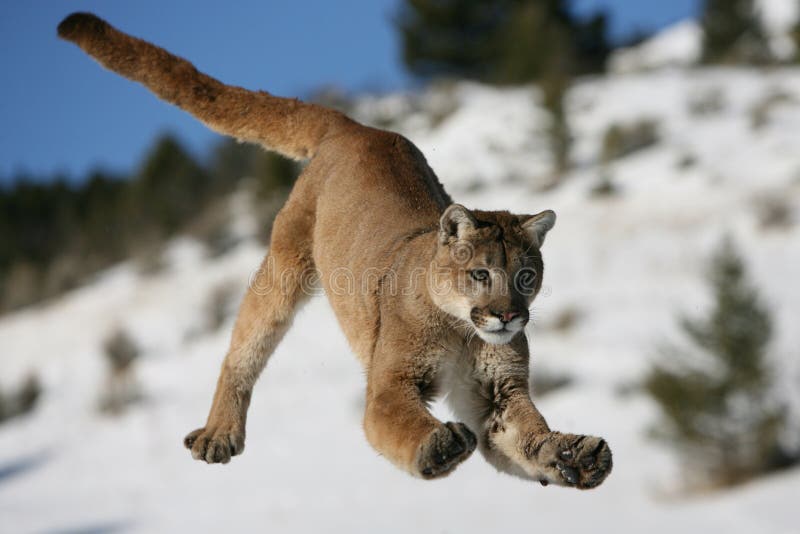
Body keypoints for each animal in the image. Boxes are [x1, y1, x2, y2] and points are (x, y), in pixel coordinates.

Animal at [58, 12, 612, 488]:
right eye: (480, 274)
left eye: (526, 277)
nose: (508, 316)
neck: (460, 328)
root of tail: (357, 126)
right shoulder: (391, 383)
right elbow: (396, 421)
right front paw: (437, 445)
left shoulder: (497, 394)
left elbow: (524, 438)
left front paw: (573, 454)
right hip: (282, 269)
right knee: (243, 347)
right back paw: (218, 434)